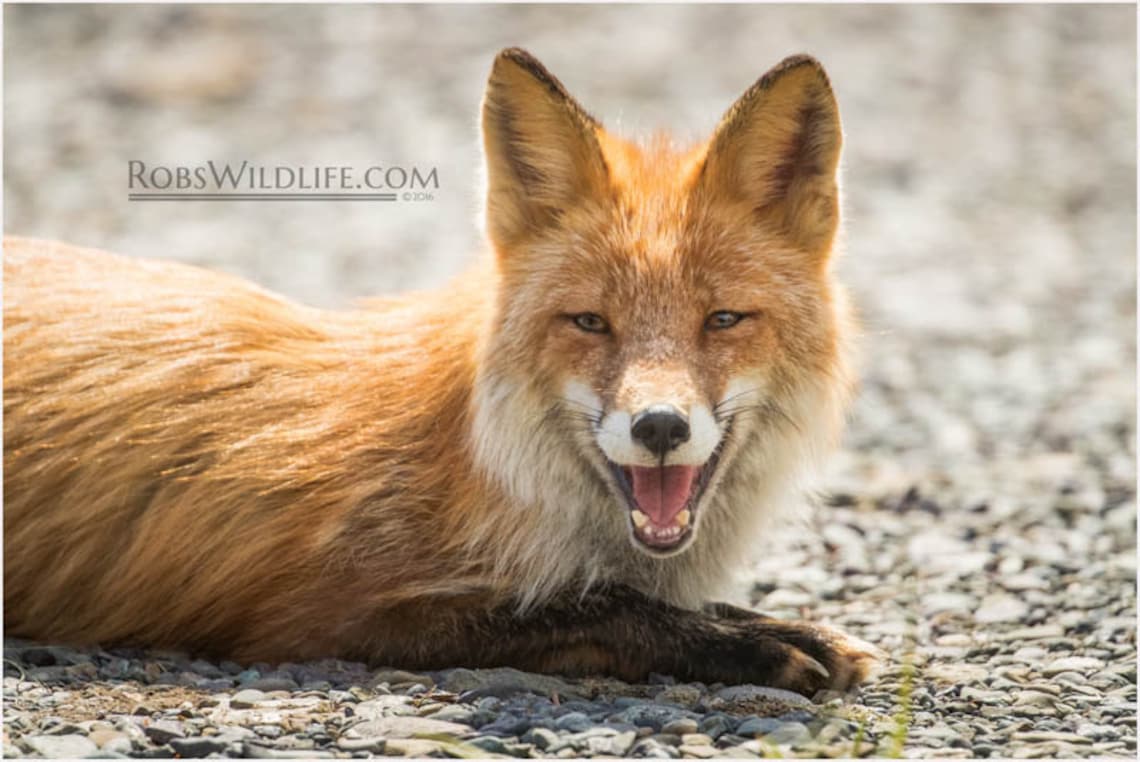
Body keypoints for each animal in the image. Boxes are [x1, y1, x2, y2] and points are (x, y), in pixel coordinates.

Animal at [4, 49, 881, 696]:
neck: (490, 469)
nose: (659, 427)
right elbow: (595, 608)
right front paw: (757, 644)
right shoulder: (320, 613)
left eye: (722, 320)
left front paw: (773, 626)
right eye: (590, 322)